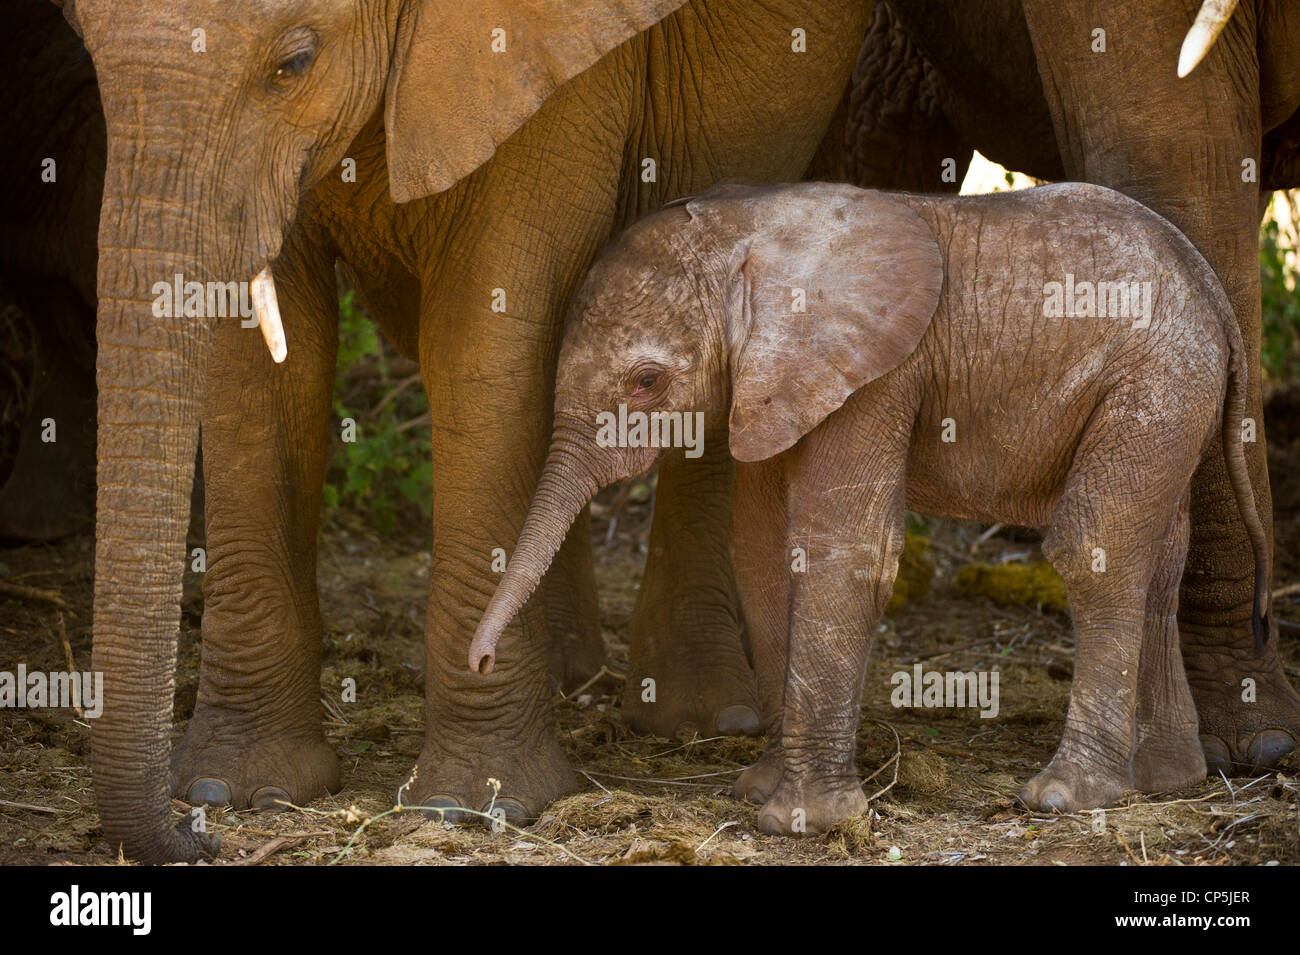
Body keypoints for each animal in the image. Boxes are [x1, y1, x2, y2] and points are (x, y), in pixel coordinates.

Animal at [65, 0, 873, 862]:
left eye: (294, 63)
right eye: (84, 44)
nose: (198, 840)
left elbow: (482, 338)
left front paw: (471, 804)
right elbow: (260, 362)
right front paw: (236, 789)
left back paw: (703, 716)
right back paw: (569, 678)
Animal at [468, 180, 1270, 835]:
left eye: (646, 381)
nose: (480, 661)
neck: (751, 225)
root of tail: (1217, 296)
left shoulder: (877, 376)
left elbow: (843, 549)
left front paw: (800, 823)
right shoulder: (775, 381)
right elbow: (762, 551)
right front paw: (755, 790)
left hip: (1156, 379)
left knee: (1091, 545)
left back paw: (1064, 796)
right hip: (1174, 391)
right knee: (1160, 557)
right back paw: (1167, 780)